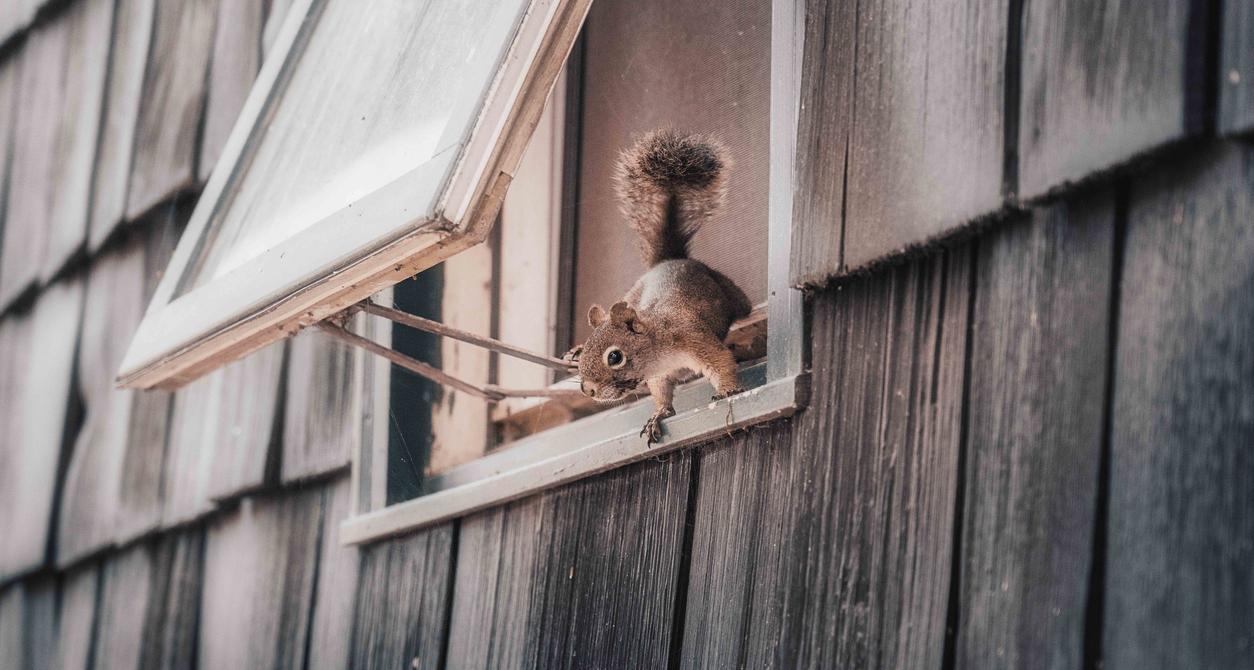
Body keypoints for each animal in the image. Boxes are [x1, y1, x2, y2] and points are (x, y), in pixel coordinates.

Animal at [565, 129, 752, 445]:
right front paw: (659, 414)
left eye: (614, 357)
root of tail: (670, 259)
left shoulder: (693, 338)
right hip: (632, 292)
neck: (659, 351)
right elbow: (662, 394)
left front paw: (728, 390)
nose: (587, 390)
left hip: (730, 291)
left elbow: (722, 362)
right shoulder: (660, 375)